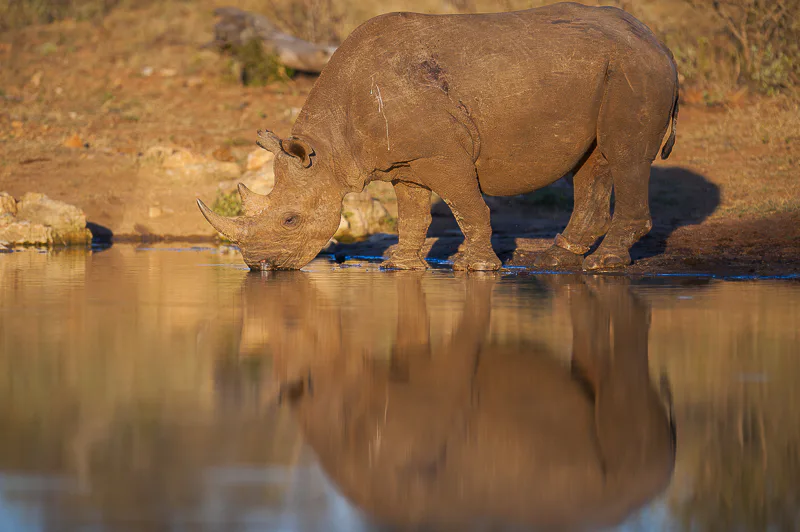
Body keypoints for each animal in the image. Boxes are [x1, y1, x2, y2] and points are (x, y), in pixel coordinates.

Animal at [198, 2, 679, 271]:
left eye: (290, 220)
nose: (259, 266)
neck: (330, 148)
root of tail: (658, 42)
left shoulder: (445, 155)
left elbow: (467, 205)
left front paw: (475, 268)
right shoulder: (405, 161)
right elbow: (413, 214)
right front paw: (400, 265)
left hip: (635, 71)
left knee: (625, 155)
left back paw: (603, 265)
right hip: (610, 70)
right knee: (593, 164)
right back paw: (558, 259)